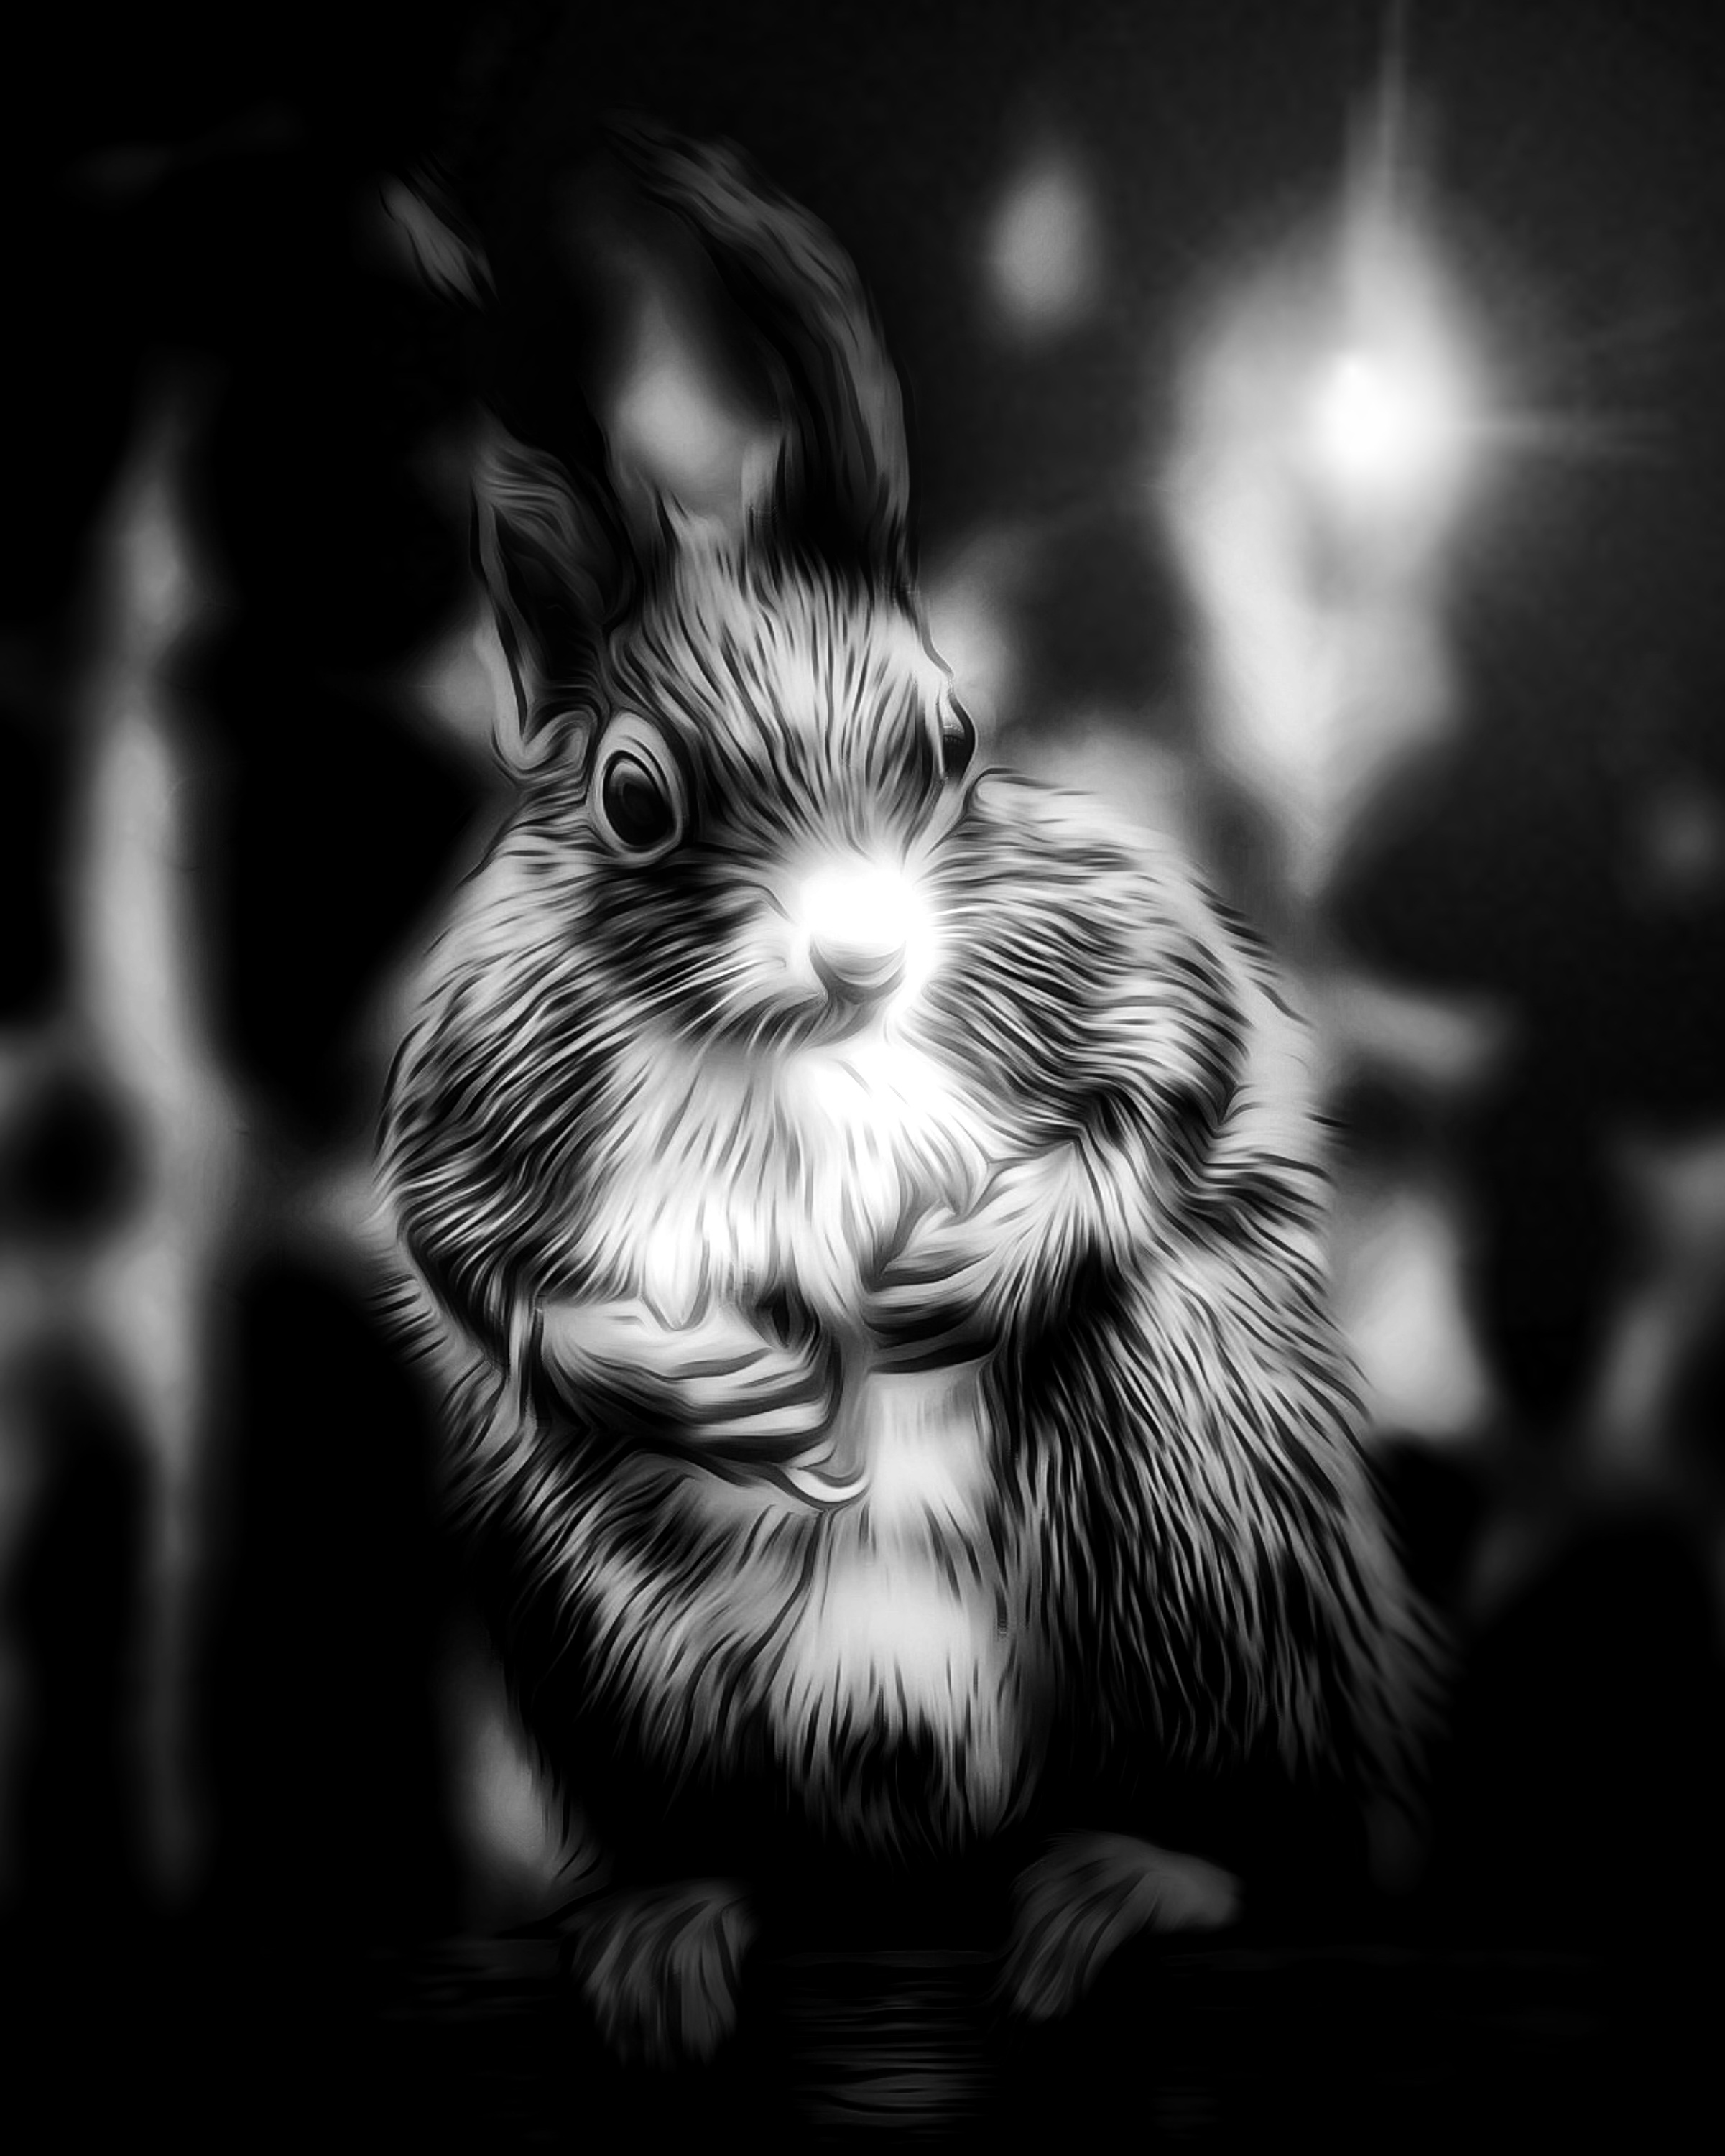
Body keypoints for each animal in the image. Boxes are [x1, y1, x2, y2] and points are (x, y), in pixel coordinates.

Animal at [378, 118, 1443, 2067]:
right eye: (632, 795)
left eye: (951, 740)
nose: (865, 958)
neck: (793, 1049)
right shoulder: (488, 1046)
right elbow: (448, 1223)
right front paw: (667, 1371)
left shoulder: (1090, 923)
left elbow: (1182, 1042)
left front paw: (994, 1257)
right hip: (597, 1618)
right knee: (721, 1815)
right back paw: (673, 1906)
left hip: (1204, 1507)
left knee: (1252, 1801)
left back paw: (1150, 1866)